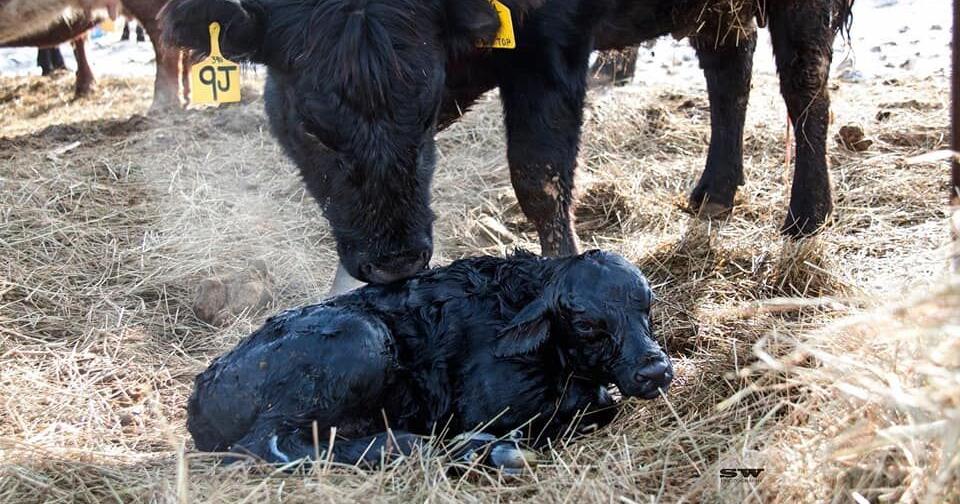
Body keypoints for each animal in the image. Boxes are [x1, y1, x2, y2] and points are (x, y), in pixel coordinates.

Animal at [161, 0, 853, 291]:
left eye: (424, 106)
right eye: (309, 125)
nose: (396, 264)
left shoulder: (549, 47)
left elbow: (539, 178)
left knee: (805, 81)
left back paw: (806, 215)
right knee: (729, 69)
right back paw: (713, 194)